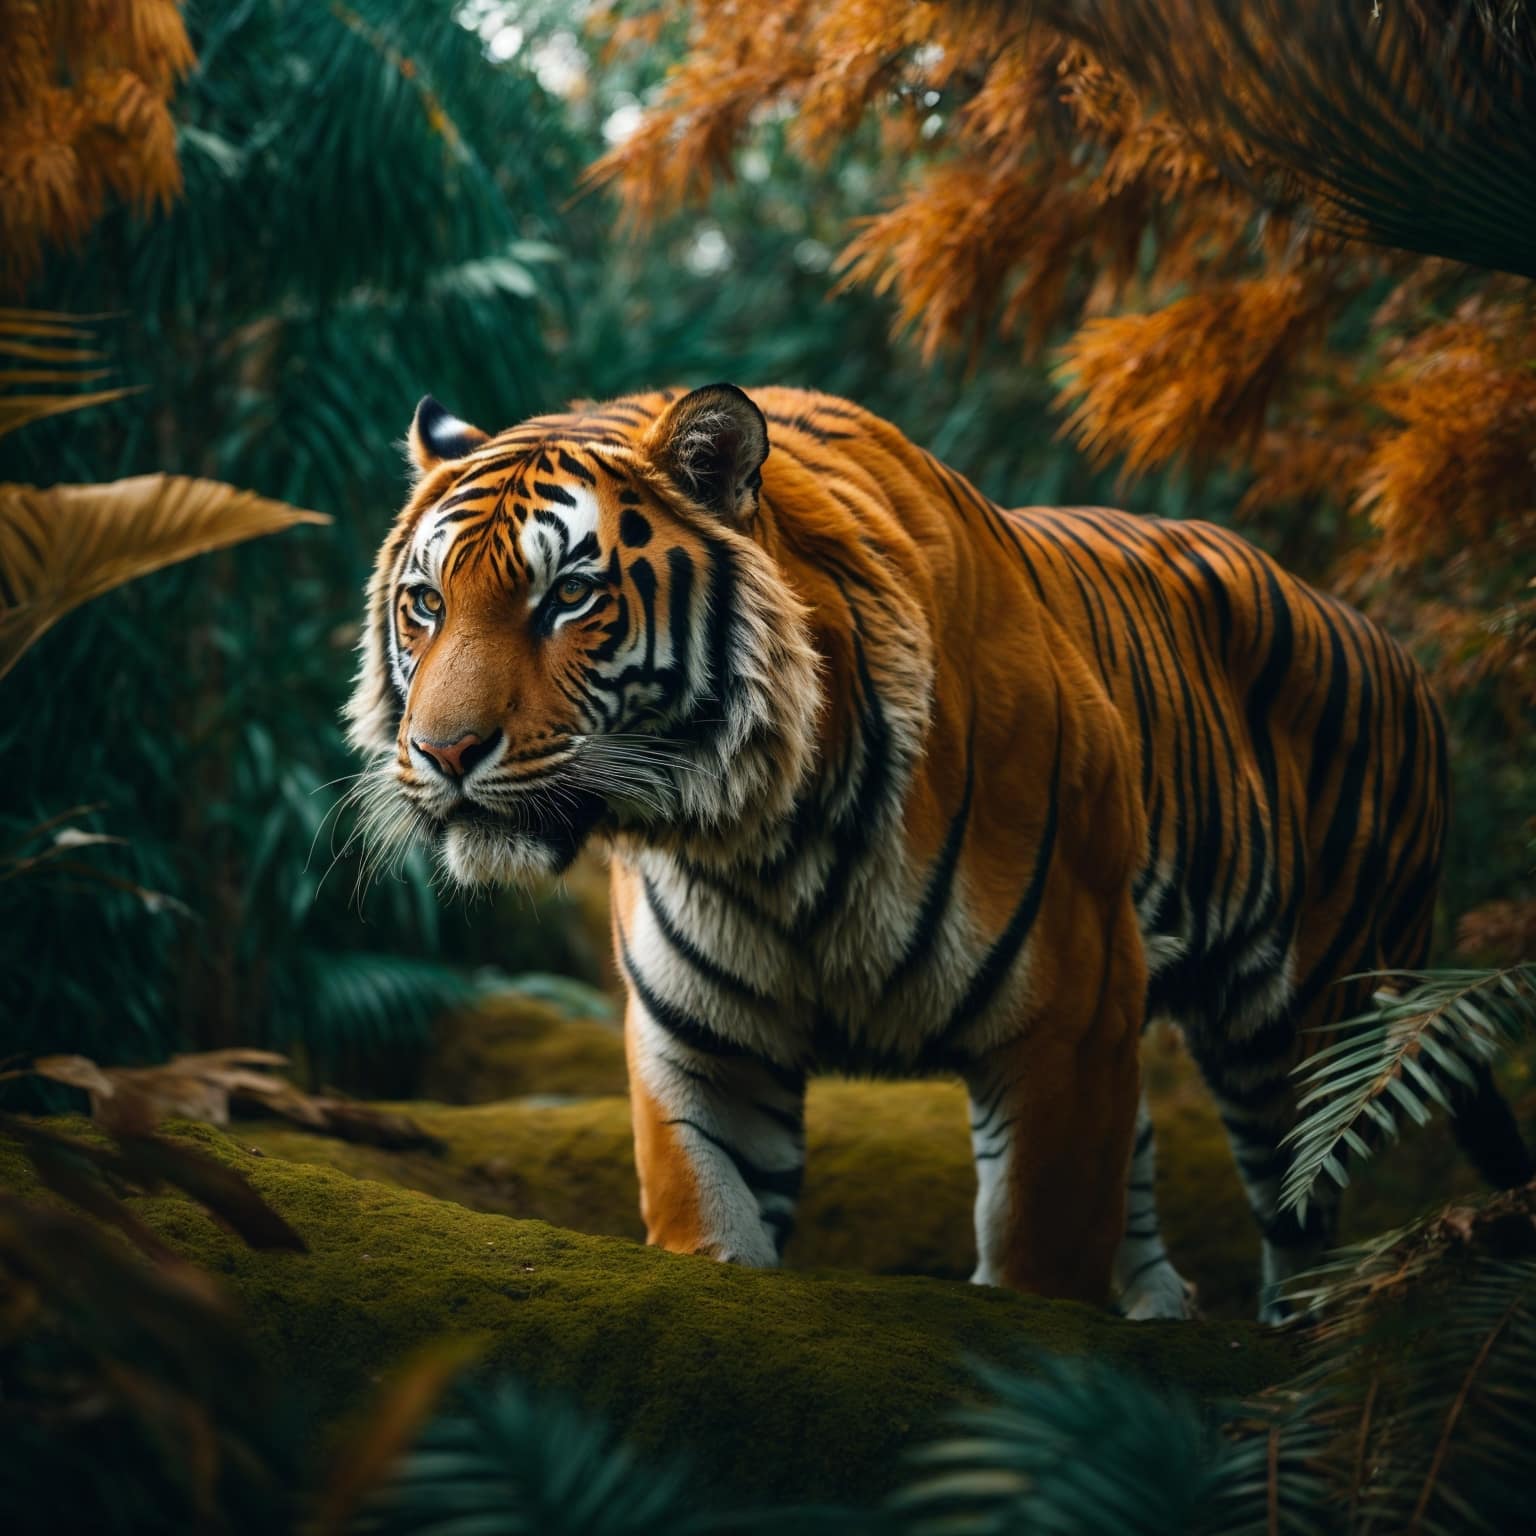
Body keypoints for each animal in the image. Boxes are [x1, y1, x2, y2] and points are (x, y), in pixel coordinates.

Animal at [347, 382, 1533, 1321]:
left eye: (570, 596)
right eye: (427, 603)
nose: (443, 752)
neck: (759, 840)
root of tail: (1387, 640)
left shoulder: (1065, 1022)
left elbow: (1040, 1264)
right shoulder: (702, 1051)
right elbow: (712, 1228)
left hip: (1306, 1024)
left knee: (1306, 1219)